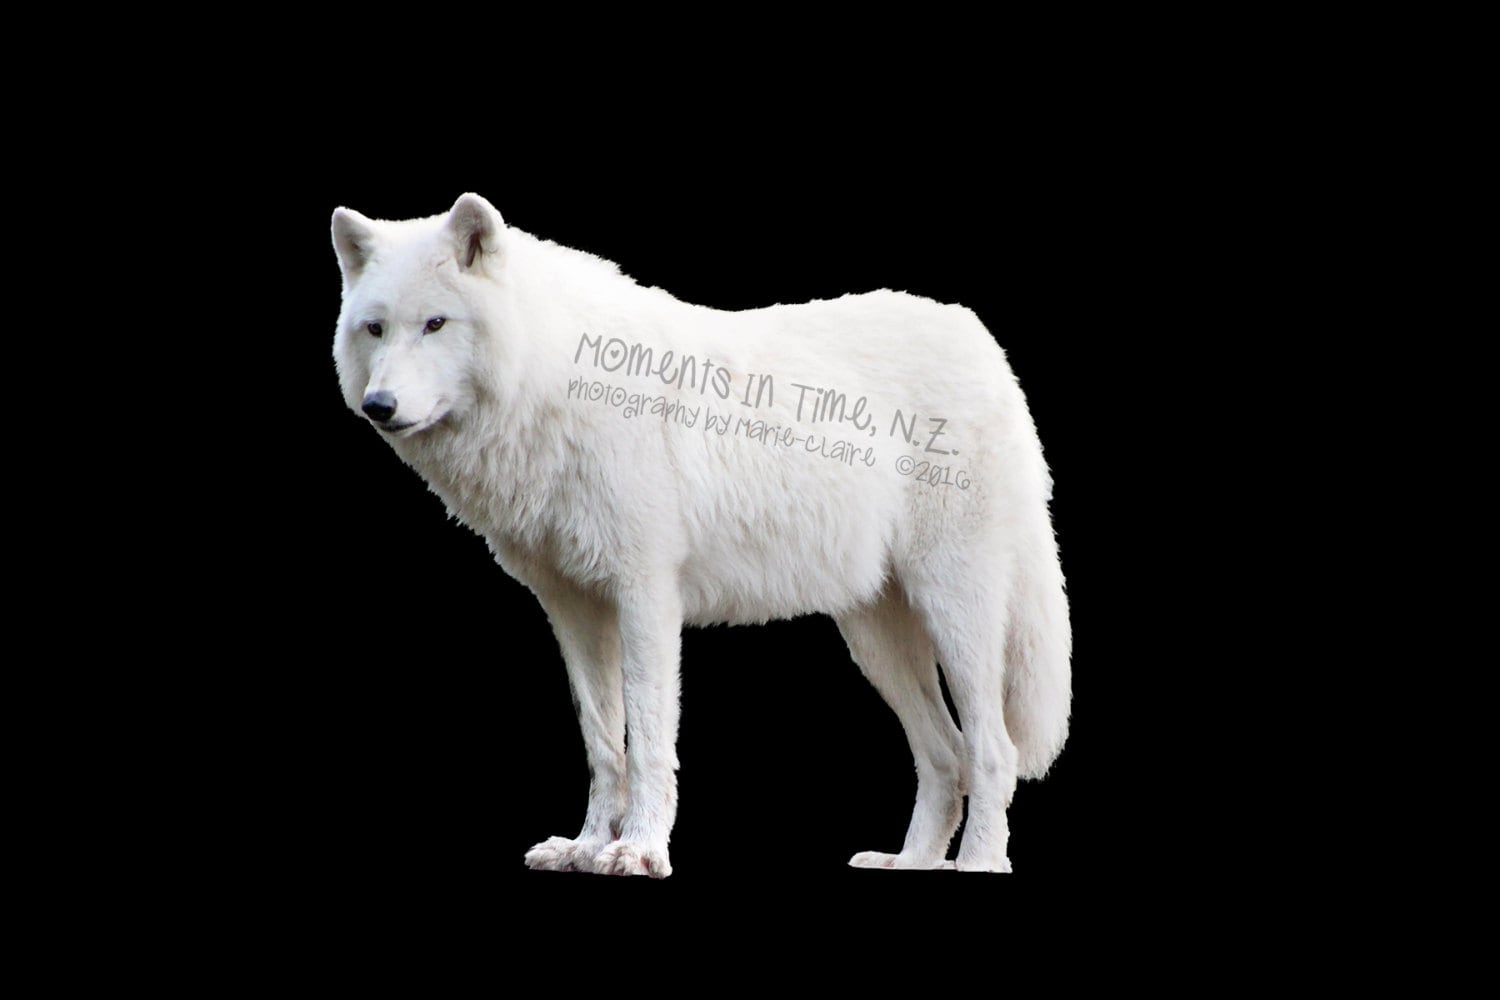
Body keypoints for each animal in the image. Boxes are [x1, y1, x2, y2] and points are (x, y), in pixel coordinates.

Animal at [330, 194, 1071, 877]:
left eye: (435, 324)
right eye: (375, 329)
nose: (379, 406)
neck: (552, 381)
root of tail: (979, 338)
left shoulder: (646, 595)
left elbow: (650, 739)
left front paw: (639, 851)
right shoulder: (573, 608)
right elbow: (604, 743)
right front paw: (588, 847)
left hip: (955, 614)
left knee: (992, 750)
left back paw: (978, 864)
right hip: (874, 637)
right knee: (945, 756)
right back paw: (910, 862)